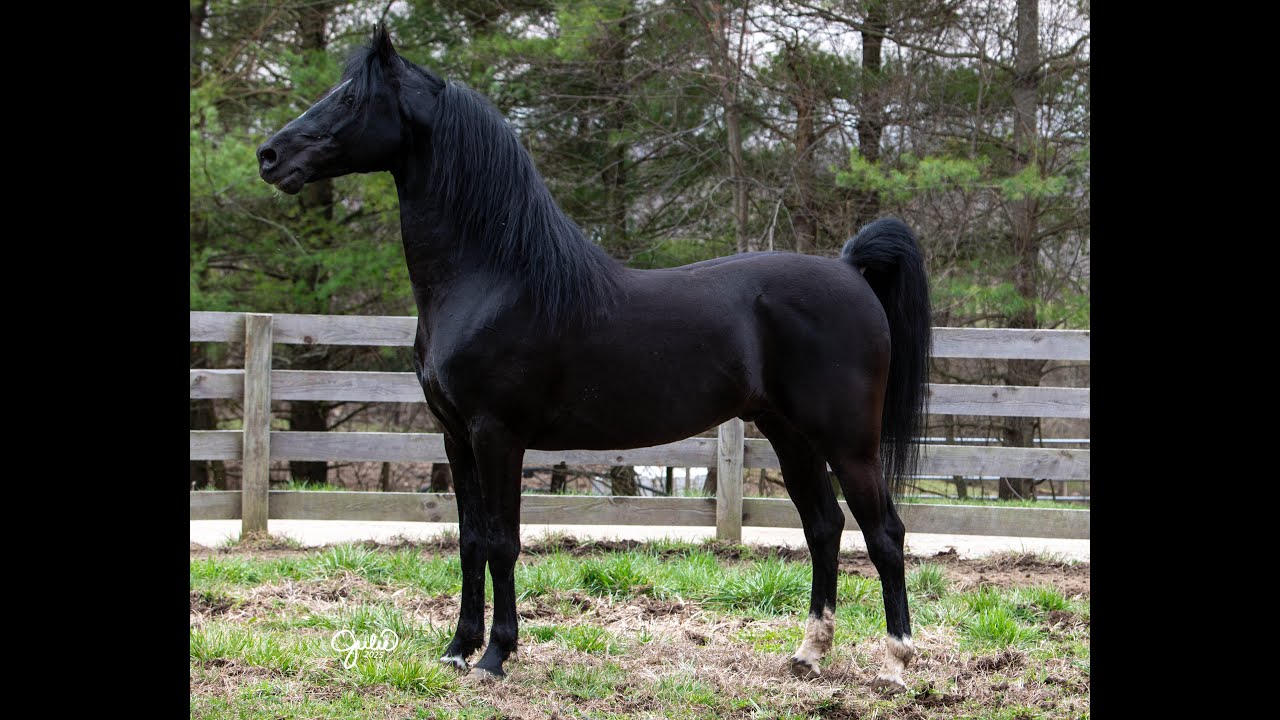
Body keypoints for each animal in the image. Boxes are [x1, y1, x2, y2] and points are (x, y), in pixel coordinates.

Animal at [257, 27, 931, 692]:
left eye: (350, 98)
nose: (269, 156)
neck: (492, 278)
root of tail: (849, 269)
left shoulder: (496, 435)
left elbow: (502, 541)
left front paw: (496, 655)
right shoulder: (454, 437)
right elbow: (469, 541)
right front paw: (456, 649)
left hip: (849, 442)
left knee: (884, 533)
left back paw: (896, 663)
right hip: (789, 435)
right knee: (824, 528)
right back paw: (808, 654)